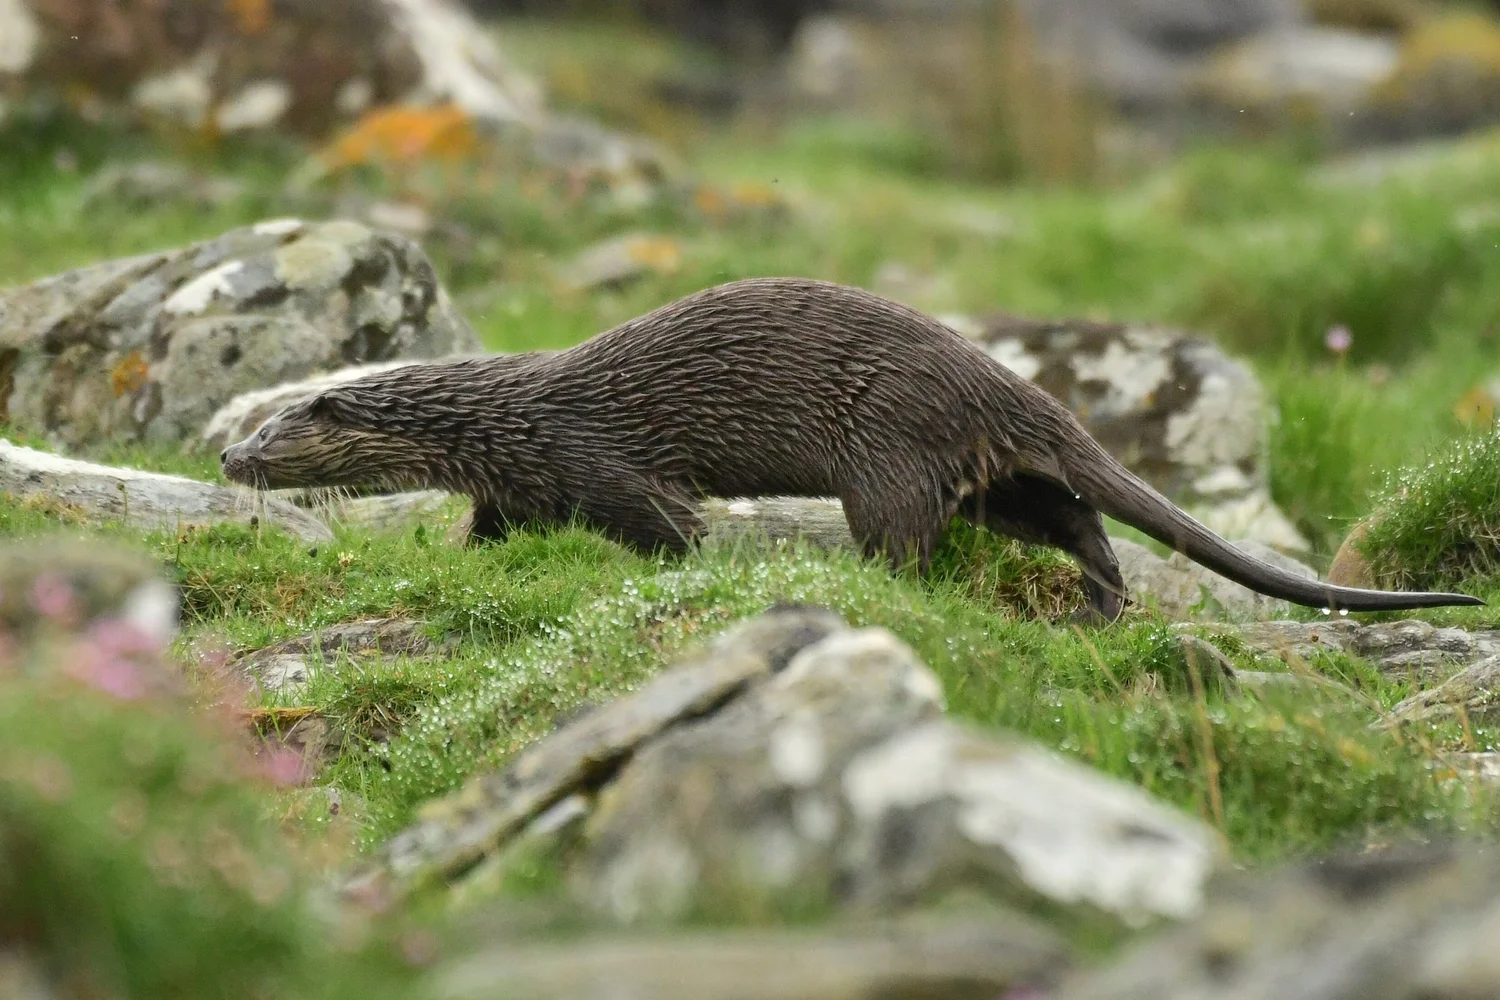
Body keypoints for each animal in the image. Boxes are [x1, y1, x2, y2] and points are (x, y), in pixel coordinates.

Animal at [220, 277, 1482, 623]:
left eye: (270, 428)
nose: (230, 463)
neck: (504, 418)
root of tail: (1000, 378)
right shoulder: (522, 481)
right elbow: (489, 531)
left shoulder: (594, 459)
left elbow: (666, 528)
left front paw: (682, 570)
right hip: (985, 475)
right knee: (1070, 517)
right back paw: (1100, 604)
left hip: (889, 451)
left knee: (913, 542)